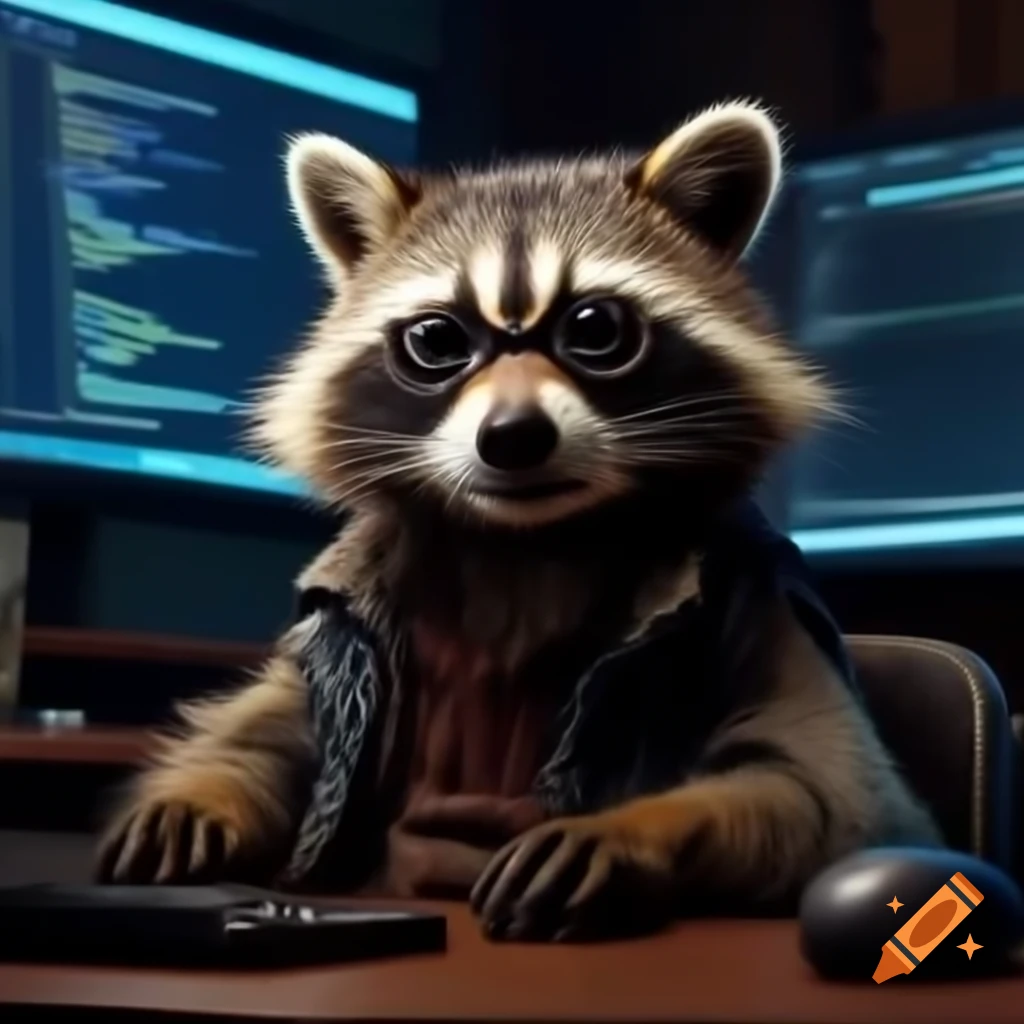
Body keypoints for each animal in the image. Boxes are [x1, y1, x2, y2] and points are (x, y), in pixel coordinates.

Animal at [97, 101, 940, 940]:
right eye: (437, 339)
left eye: (595, 329)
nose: (511, 437)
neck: (523, 544)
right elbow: (278, 726)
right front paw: (205, 791)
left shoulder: (764, 603)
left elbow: (827, 786)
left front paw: (625, 831)